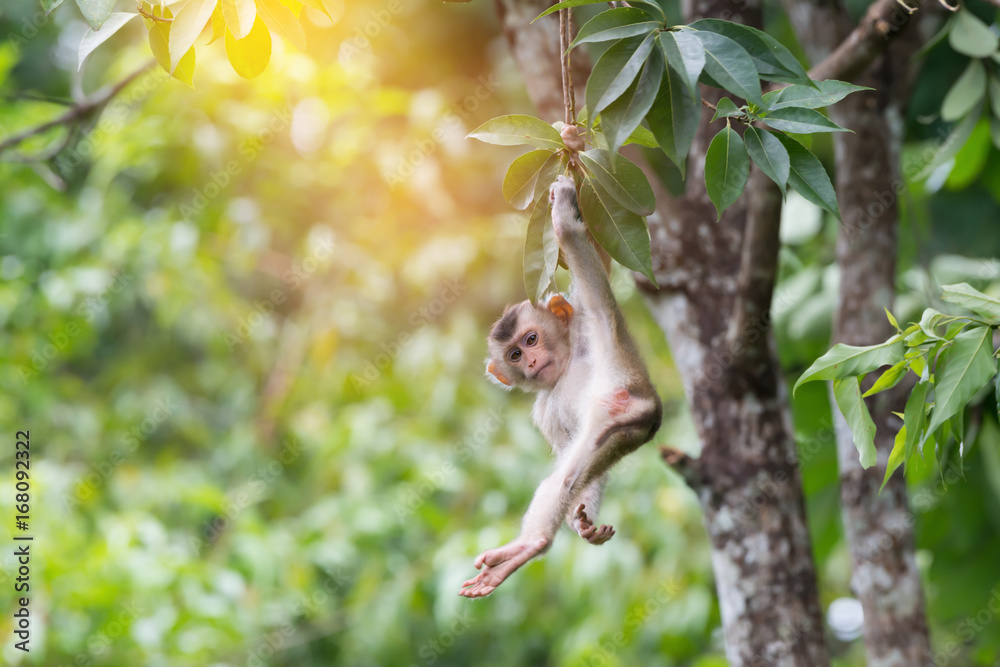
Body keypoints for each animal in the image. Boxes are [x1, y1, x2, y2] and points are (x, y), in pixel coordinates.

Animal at [459, 174, 662, 599]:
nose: (532, 362)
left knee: (599, 300)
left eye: (531, 339)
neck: (566, 367)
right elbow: (568, 447)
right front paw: (585, 524)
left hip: (614, 369)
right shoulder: (545, 409)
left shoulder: (582, 325)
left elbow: (592, 280)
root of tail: (645, 413)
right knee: (572, 475)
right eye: (514, 355)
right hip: (610, 432)